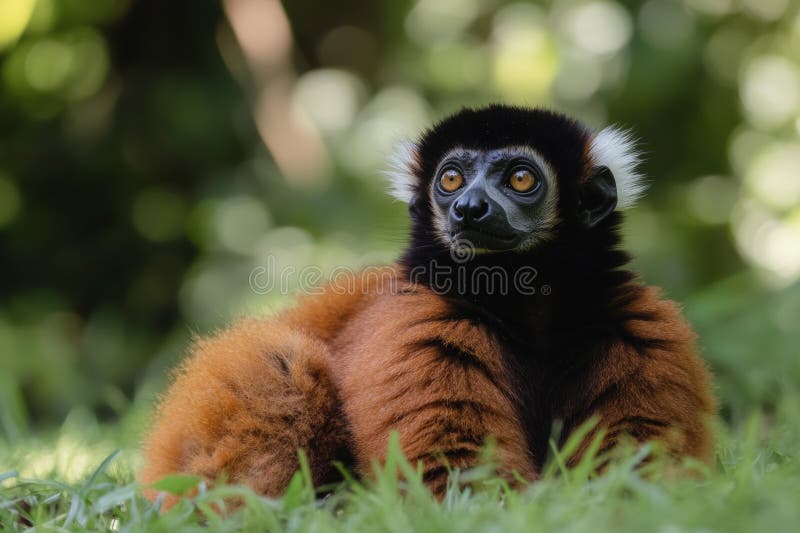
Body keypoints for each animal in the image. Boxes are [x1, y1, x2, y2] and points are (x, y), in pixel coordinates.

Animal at [140, 105, 716, 504]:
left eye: (521, 178)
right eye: (452, 179)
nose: (468, 208)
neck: (522, 300)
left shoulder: (637, 329)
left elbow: (642, 471)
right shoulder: (421, 324)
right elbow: (452, 477)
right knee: (280, 363)